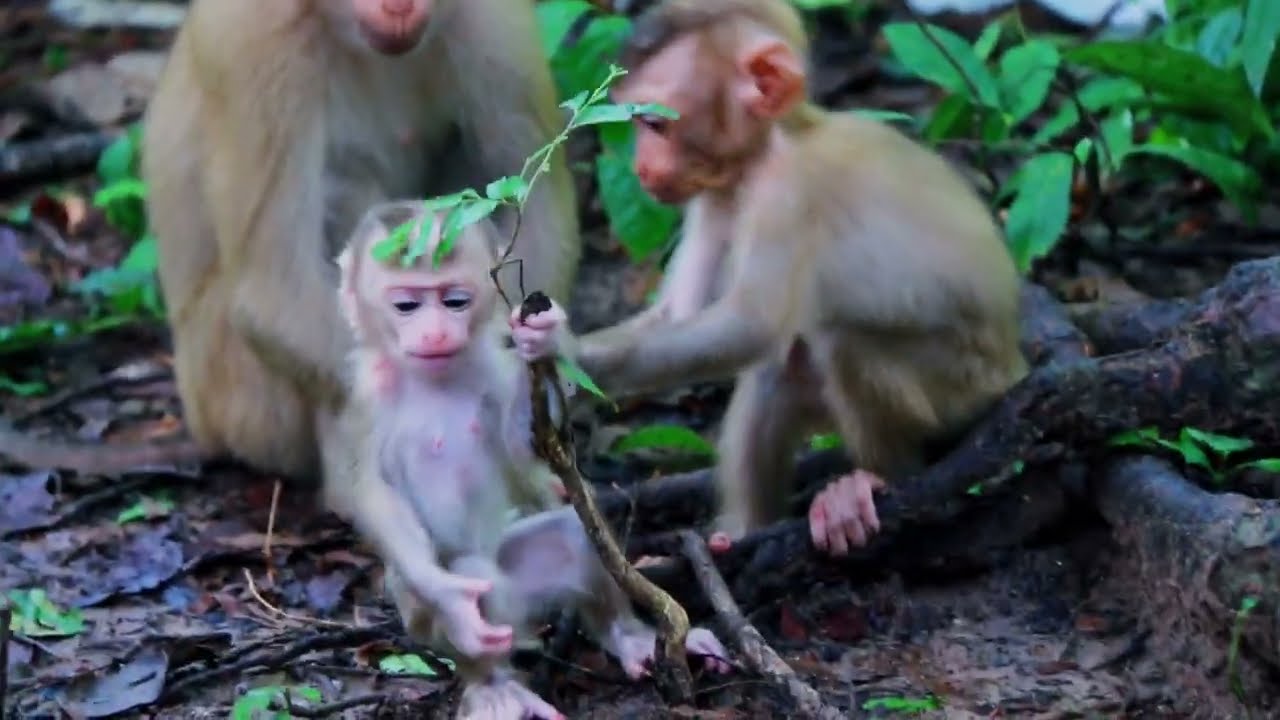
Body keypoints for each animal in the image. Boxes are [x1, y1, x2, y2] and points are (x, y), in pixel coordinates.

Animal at [0, 0, 580, 479]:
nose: (399, 3)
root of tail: (202, 420)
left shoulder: (494, 20)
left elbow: (537, 208)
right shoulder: (254, 46)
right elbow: (272, 289)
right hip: (241, 398)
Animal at [331, 200, 729, 719]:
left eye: (454, 301)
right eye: (406, 306)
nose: (435, 333)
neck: (431, 378)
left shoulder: (492, 368)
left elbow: (521, 444)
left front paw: (547, 336)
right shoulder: (363, 398)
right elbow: (376, 496)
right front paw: (449, 595)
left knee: (573, 534)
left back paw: (630, 637)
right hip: (423, 617)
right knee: (474, 577)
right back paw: (493, 683)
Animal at [568, 0, 1029, 558]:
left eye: (655, 125)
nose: (639, 169)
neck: (773, 144)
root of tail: (1014, 366)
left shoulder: (788, 192)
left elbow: (750, 328)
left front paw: (563, 352)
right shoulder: (716, 195)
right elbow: (679, 315)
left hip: (963, 391)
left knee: (841, 342)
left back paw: (875, 482)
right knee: (781, 371)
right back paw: (740, 533)